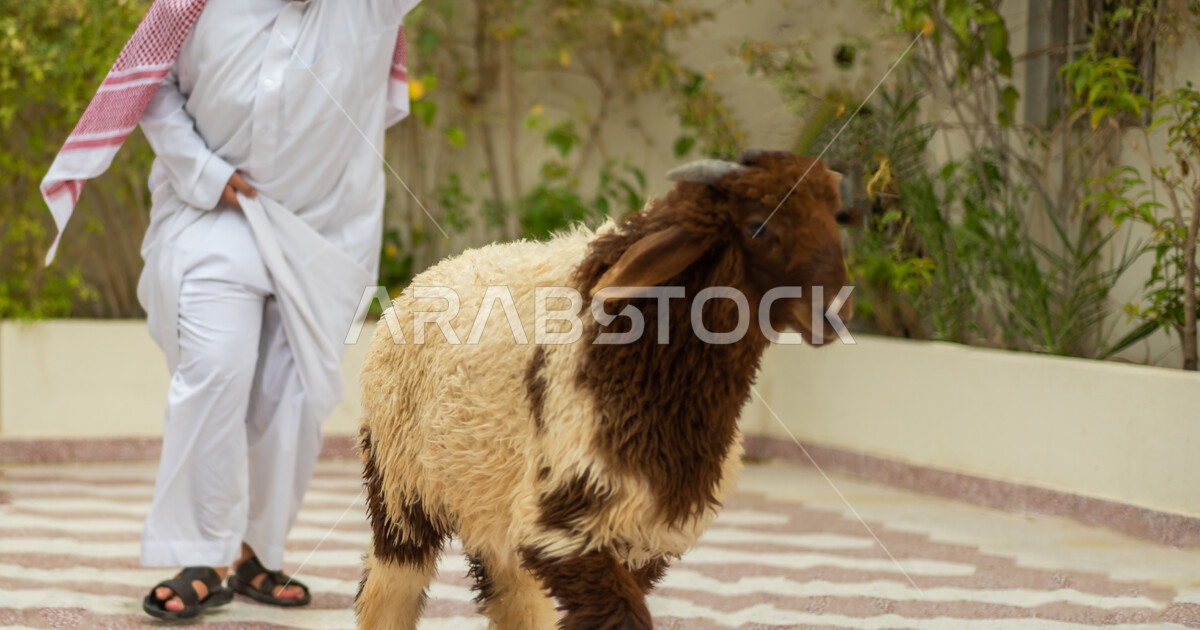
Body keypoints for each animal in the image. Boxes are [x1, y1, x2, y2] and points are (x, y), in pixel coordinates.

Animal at [355, 149, 850, 630]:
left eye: (837, 218)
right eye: (758, 226)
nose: (833, 311)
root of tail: (425, 278)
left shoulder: (643, 535)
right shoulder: (563, 523)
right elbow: (621, 616)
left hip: (488, 492)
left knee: (511, 595)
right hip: (400, 483)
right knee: (392, 587)